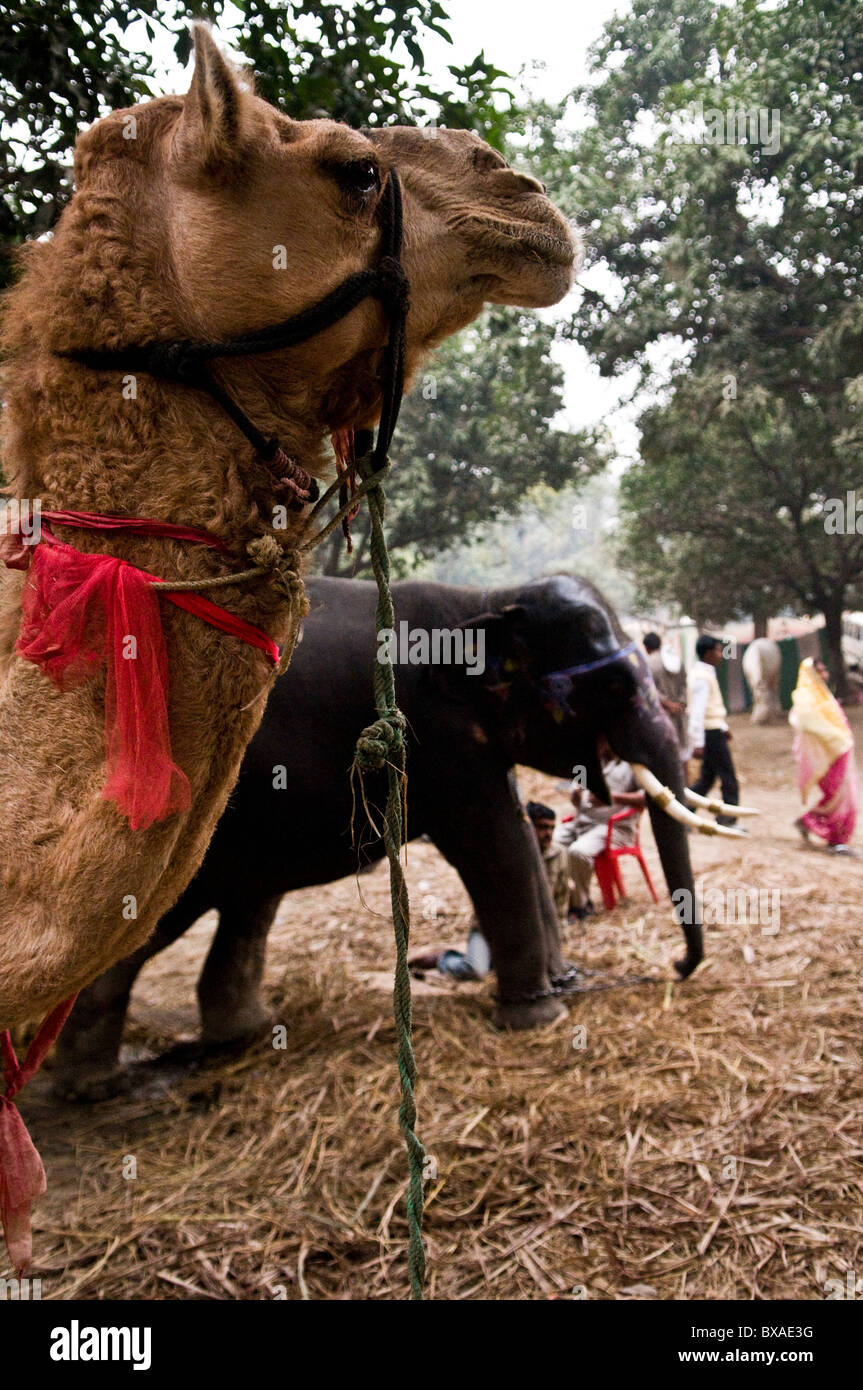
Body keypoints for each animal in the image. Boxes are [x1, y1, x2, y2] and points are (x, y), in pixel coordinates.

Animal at [53, 573, 707, 1098]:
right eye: (616, 687)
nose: (675, 966)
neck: (483, 601)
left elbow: (519, 836)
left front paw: (561, 985)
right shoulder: (436, 737)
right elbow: (494, 846)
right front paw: (539, 1017)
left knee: (247, 906)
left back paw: (240, 1035)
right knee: (145, 923)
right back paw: (96, 1087)